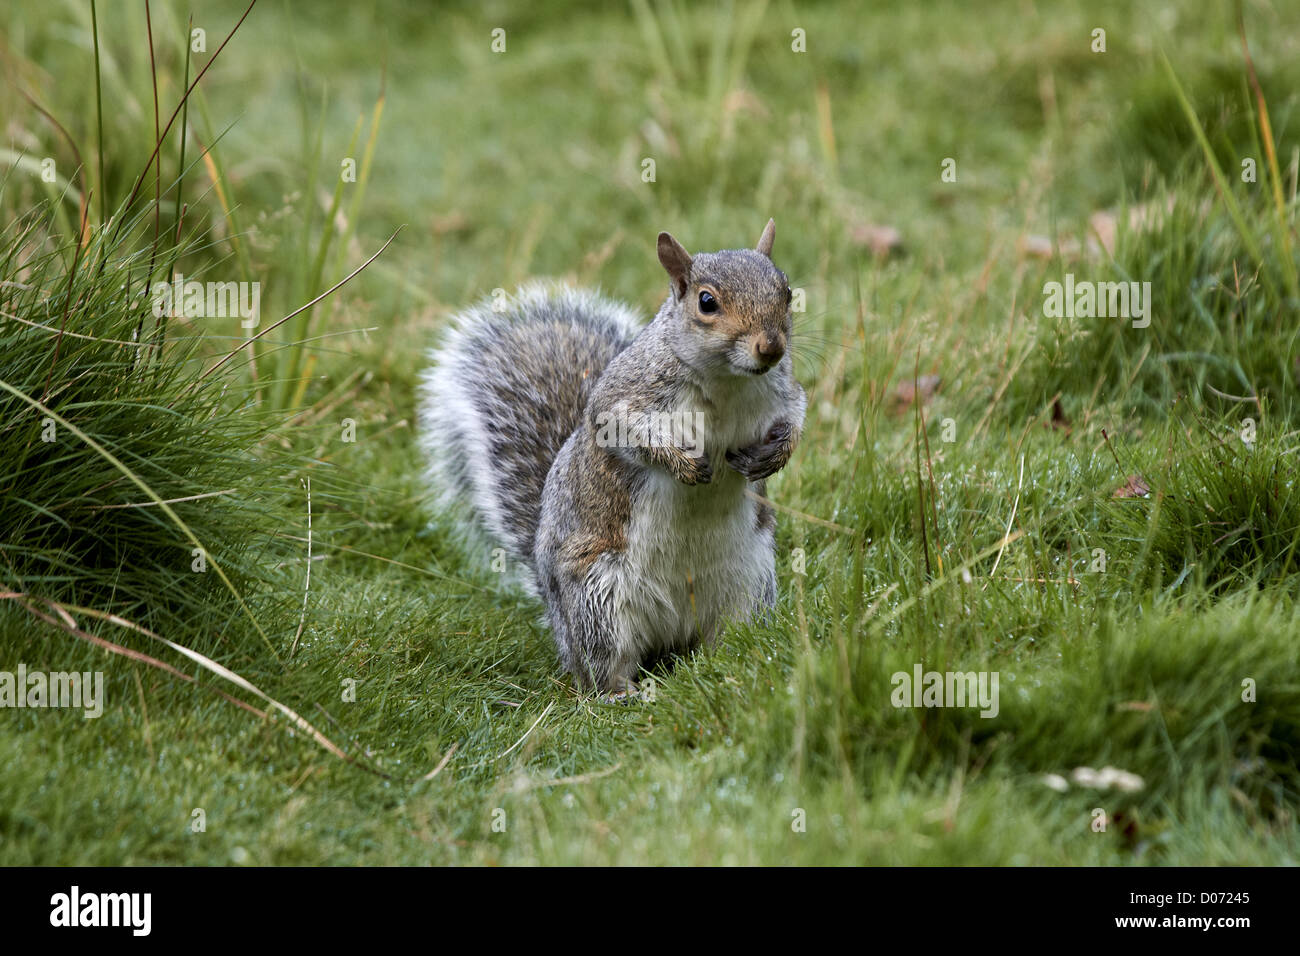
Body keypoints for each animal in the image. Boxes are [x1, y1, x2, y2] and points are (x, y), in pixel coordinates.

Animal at [419, 220, 806, 697]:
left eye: (786, 291)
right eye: (707, 302)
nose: (770, 347)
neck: (727, 381)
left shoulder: (784, 392)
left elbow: (795, 417)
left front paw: (777, 454)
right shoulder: (623, 399)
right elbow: (627, 432)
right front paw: (681, 464)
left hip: (750, 585)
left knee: (728, 634)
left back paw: (736, 662)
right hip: (598, 601)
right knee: (600, 667)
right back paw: (623, 693)